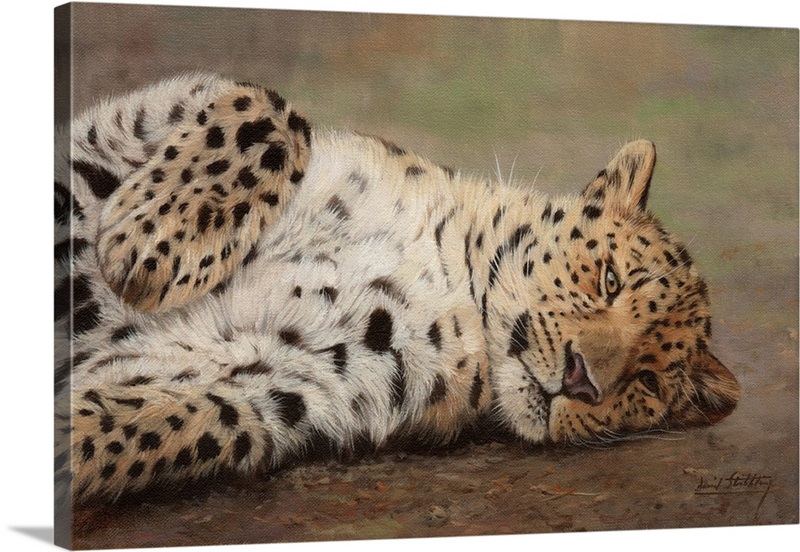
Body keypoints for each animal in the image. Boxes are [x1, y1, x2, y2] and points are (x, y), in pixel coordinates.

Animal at [54, 73, 740, 505]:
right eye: (608, 280)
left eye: (645, 381)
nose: (581, 380)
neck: (448, 275)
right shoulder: (127, 124)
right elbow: (273, 109)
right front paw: (147, 248)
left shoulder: (291, 385)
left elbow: (155, 424)